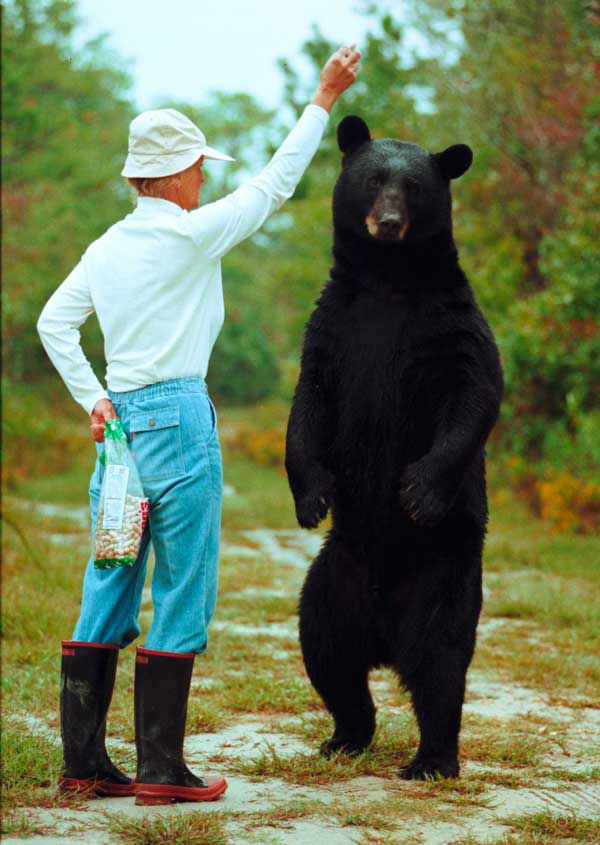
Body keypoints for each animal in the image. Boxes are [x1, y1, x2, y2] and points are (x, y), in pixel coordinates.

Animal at [285, 115, 504, 780]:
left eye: (412, 188)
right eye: (373, 179)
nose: (386, 221)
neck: (386, 278)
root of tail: (383, 635)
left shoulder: (450, 322)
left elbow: (474, 391)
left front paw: (418, 491)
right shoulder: (333, 328)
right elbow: (307, 404)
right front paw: (312, 498)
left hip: (443, 578)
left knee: (439, 667)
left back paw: (431, 759)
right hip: (333, 580)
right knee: (327, 654)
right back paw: (344, 737)